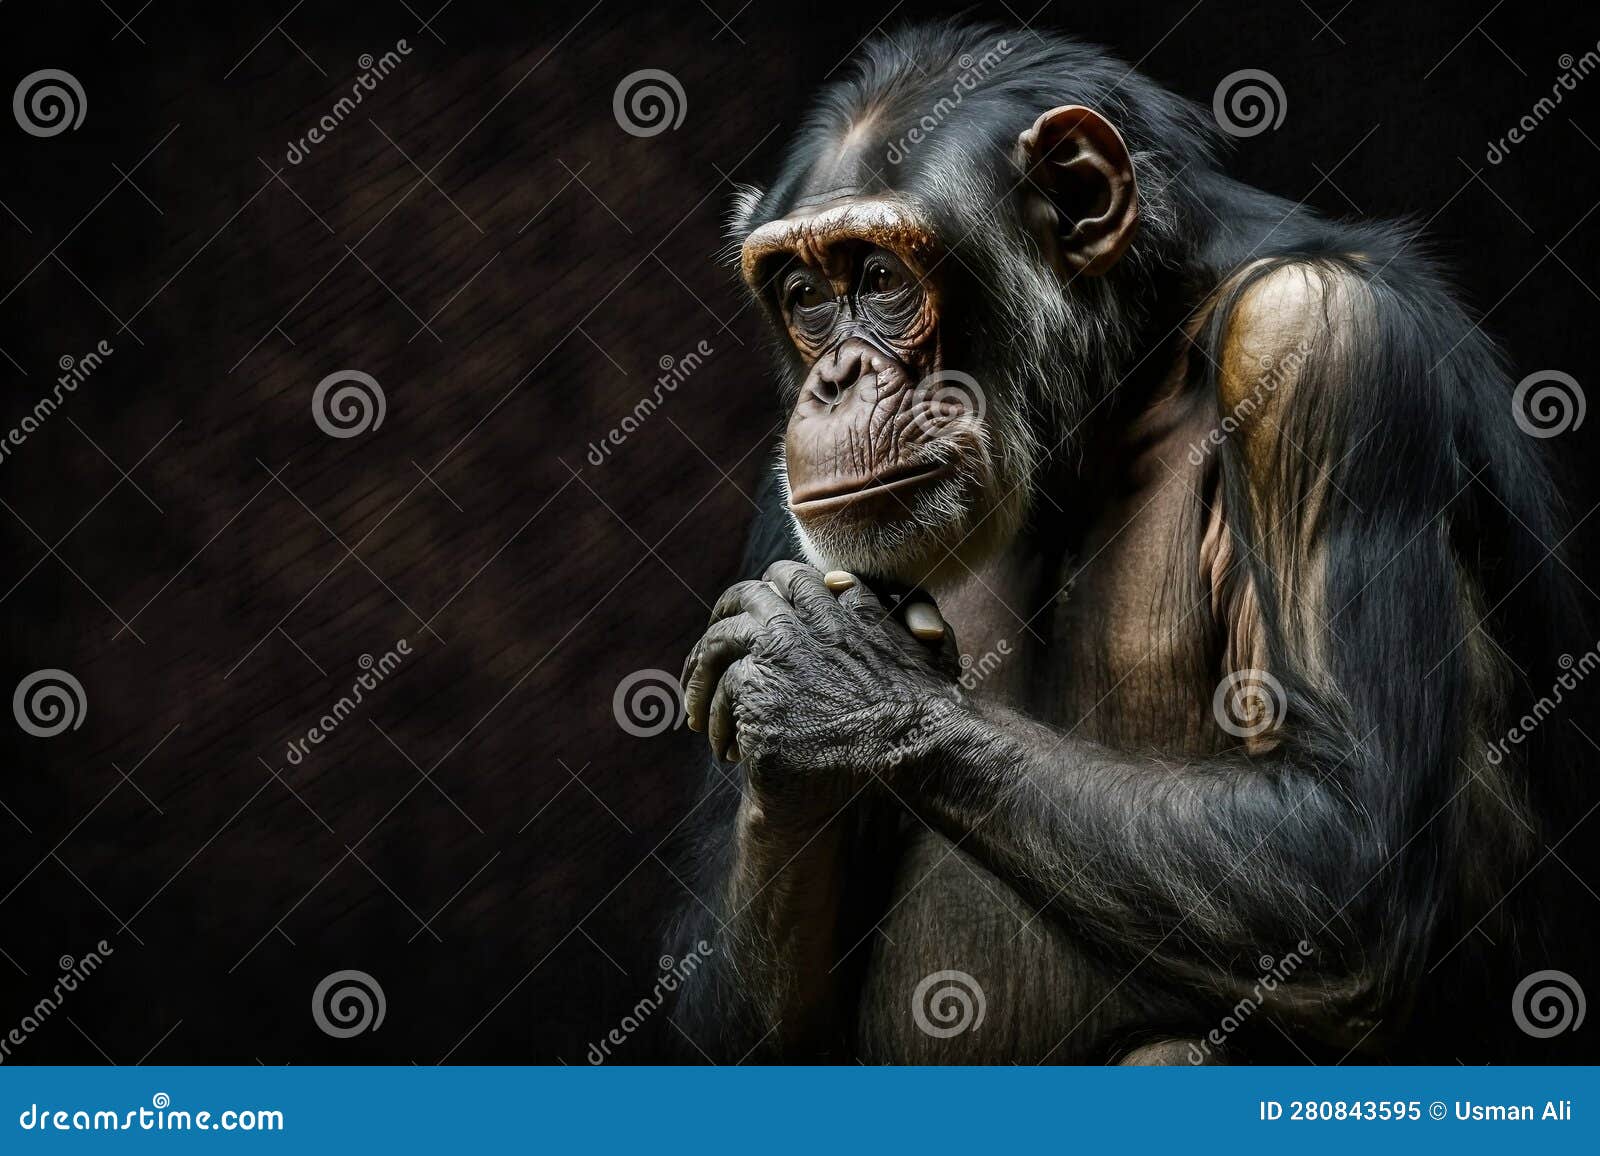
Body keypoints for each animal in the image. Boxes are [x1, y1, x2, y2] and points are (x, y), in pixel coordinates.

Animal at [664, 20, 1590, 1064]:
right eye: (803, 295)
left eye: (879, 278)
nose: (834, 379)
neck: (1129, 364)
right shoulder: (782, 500)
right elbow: (732, 1029)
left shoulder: (1325, 343)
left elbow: (1348, 847)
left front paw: (825, 680)